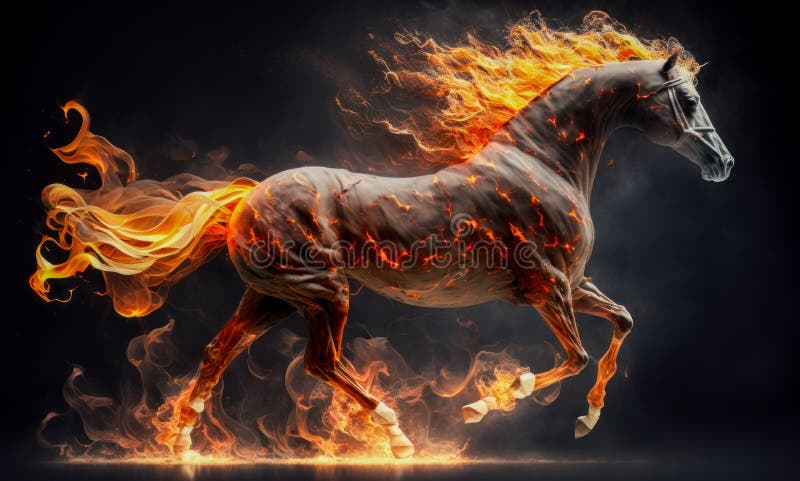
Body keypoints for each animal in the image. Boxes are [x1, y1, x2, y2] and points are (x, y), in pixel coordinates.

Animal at [32, 54, 733, 459]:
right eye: (688, 99)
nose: (722, 162)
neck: (543, 163)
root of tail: (246, 200)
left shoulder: (573, 285)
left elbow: (622, 322)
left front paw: (587, 419)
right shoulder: (547, 287)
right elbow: (577, 354)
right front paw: (485, 404)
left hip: (274, 298)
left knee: (218, 350)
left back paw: (182, 441)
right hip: (324, 293)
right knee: (320, 363)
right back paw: (395, 432)